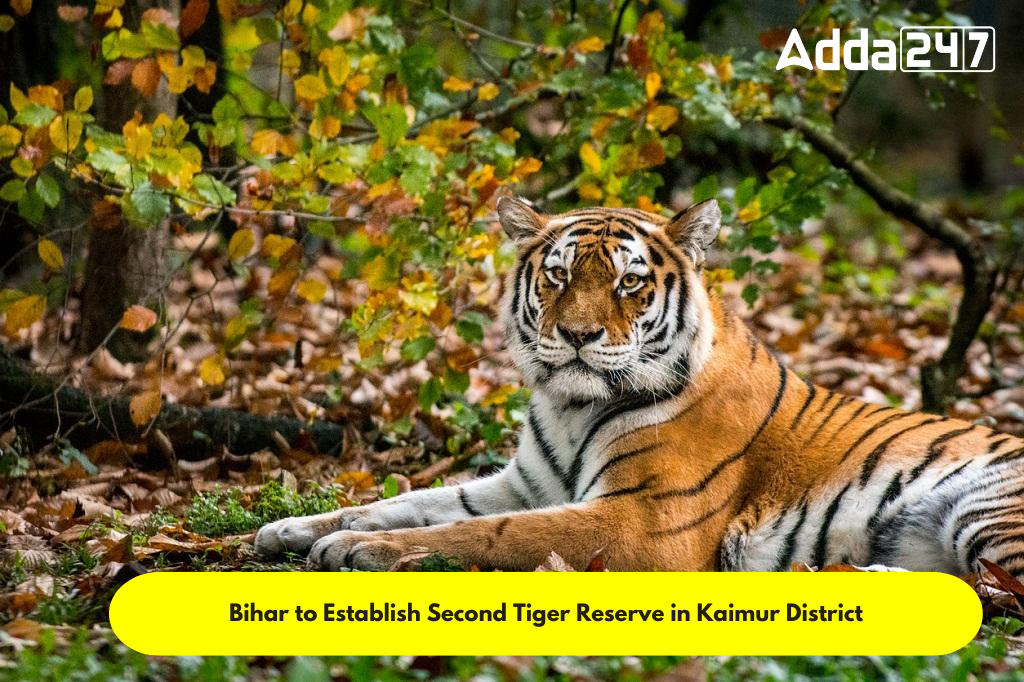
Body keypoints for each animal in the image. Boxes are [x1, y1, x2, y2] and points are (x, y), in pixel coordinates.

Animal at [255, 195, 1024, 574]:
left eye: (629, 282)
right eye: (559, 274)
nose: (577, 336)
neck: (570, 406)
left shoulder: (641, 522)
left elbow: (489, 535)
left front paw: (359, 551)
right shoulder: (526, 484)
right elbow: (408, 501)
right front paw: (294, 528)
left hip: (985, 511)